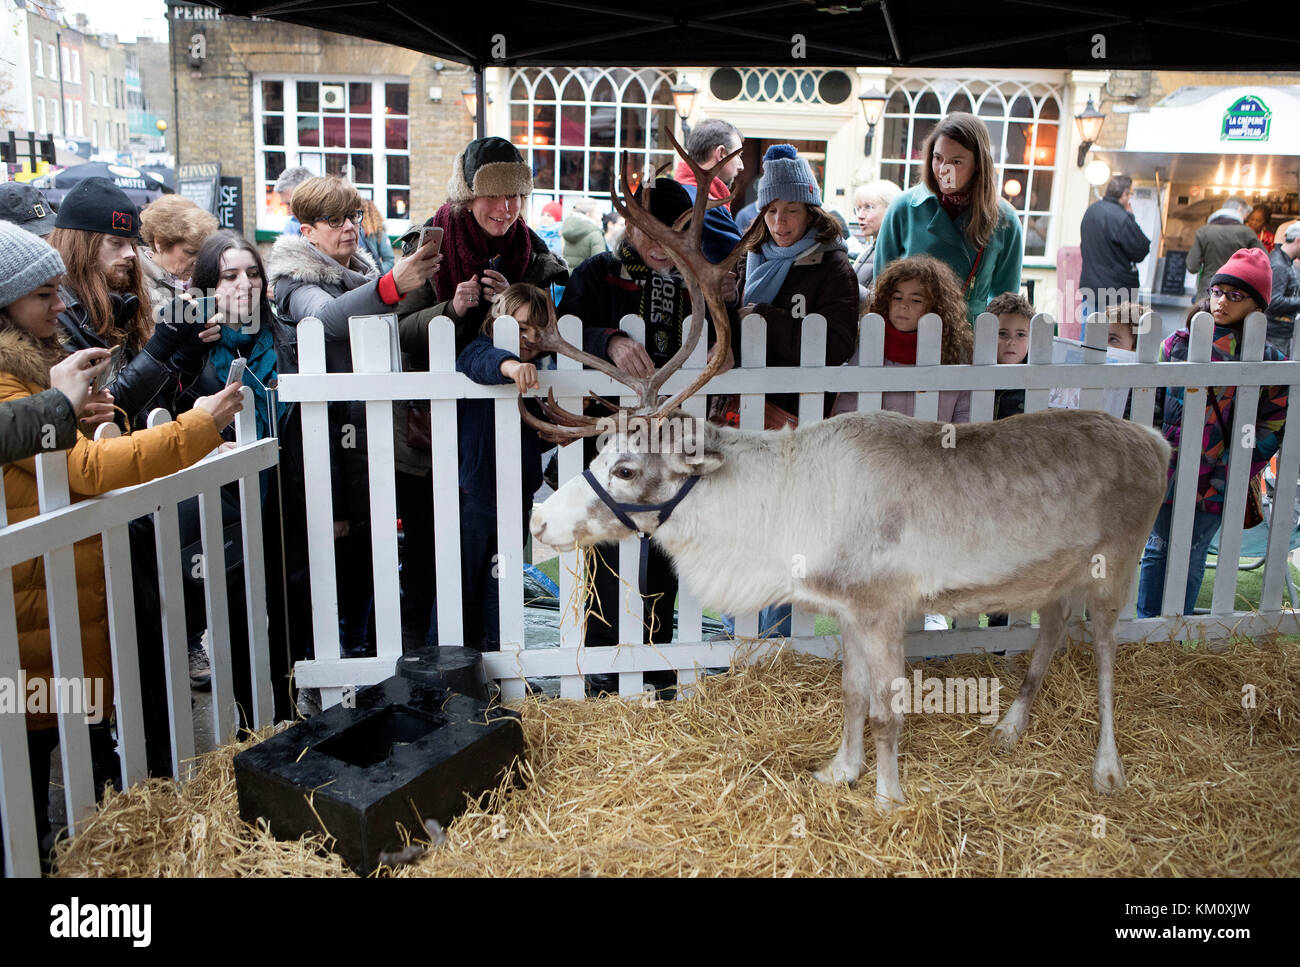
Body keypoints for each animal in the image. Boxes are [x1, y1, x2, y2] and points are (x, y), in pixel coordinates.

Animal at [519, 133, 1172, 810]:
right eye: (597, 454)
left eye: (624, 469)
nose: (538, 520)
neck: (777, 516)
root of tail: (1157, 442)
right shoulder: (849, 610)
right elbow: (853, 696)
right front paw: (841, 772)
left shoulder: (882, 604)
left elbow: (888, 710)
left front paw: (888, 798)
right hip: (1059, 576)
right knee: (1052, 631)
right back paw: (1012, 728)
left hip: (1115, 567)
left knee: (1103, 653)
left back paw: (1107, 768)